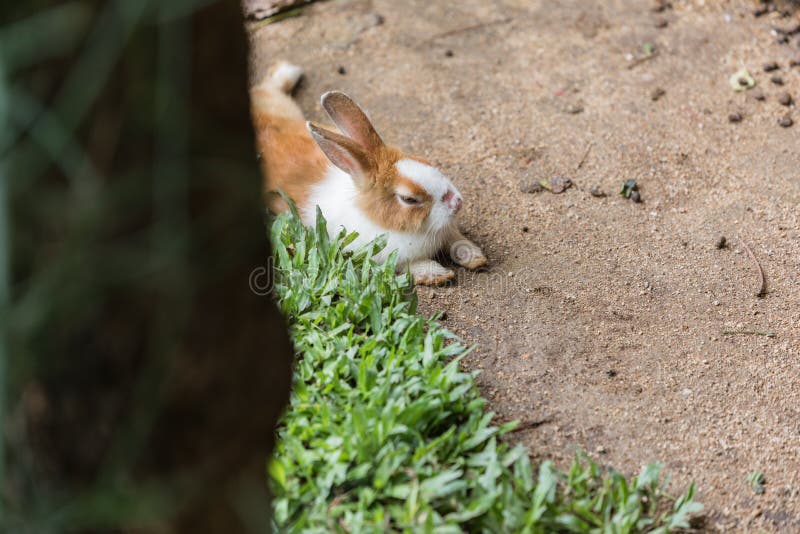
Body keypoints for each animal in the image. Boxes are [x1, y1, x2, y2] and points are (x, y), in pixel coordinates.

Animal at [251, 61, 487, 285]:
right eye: (409, 199)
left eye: (425, 161)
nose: (457, 202)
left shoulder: (447, 231)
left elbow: (456, 240)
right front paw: (437, 274)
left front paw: (474, 256)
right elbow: (411, 264)